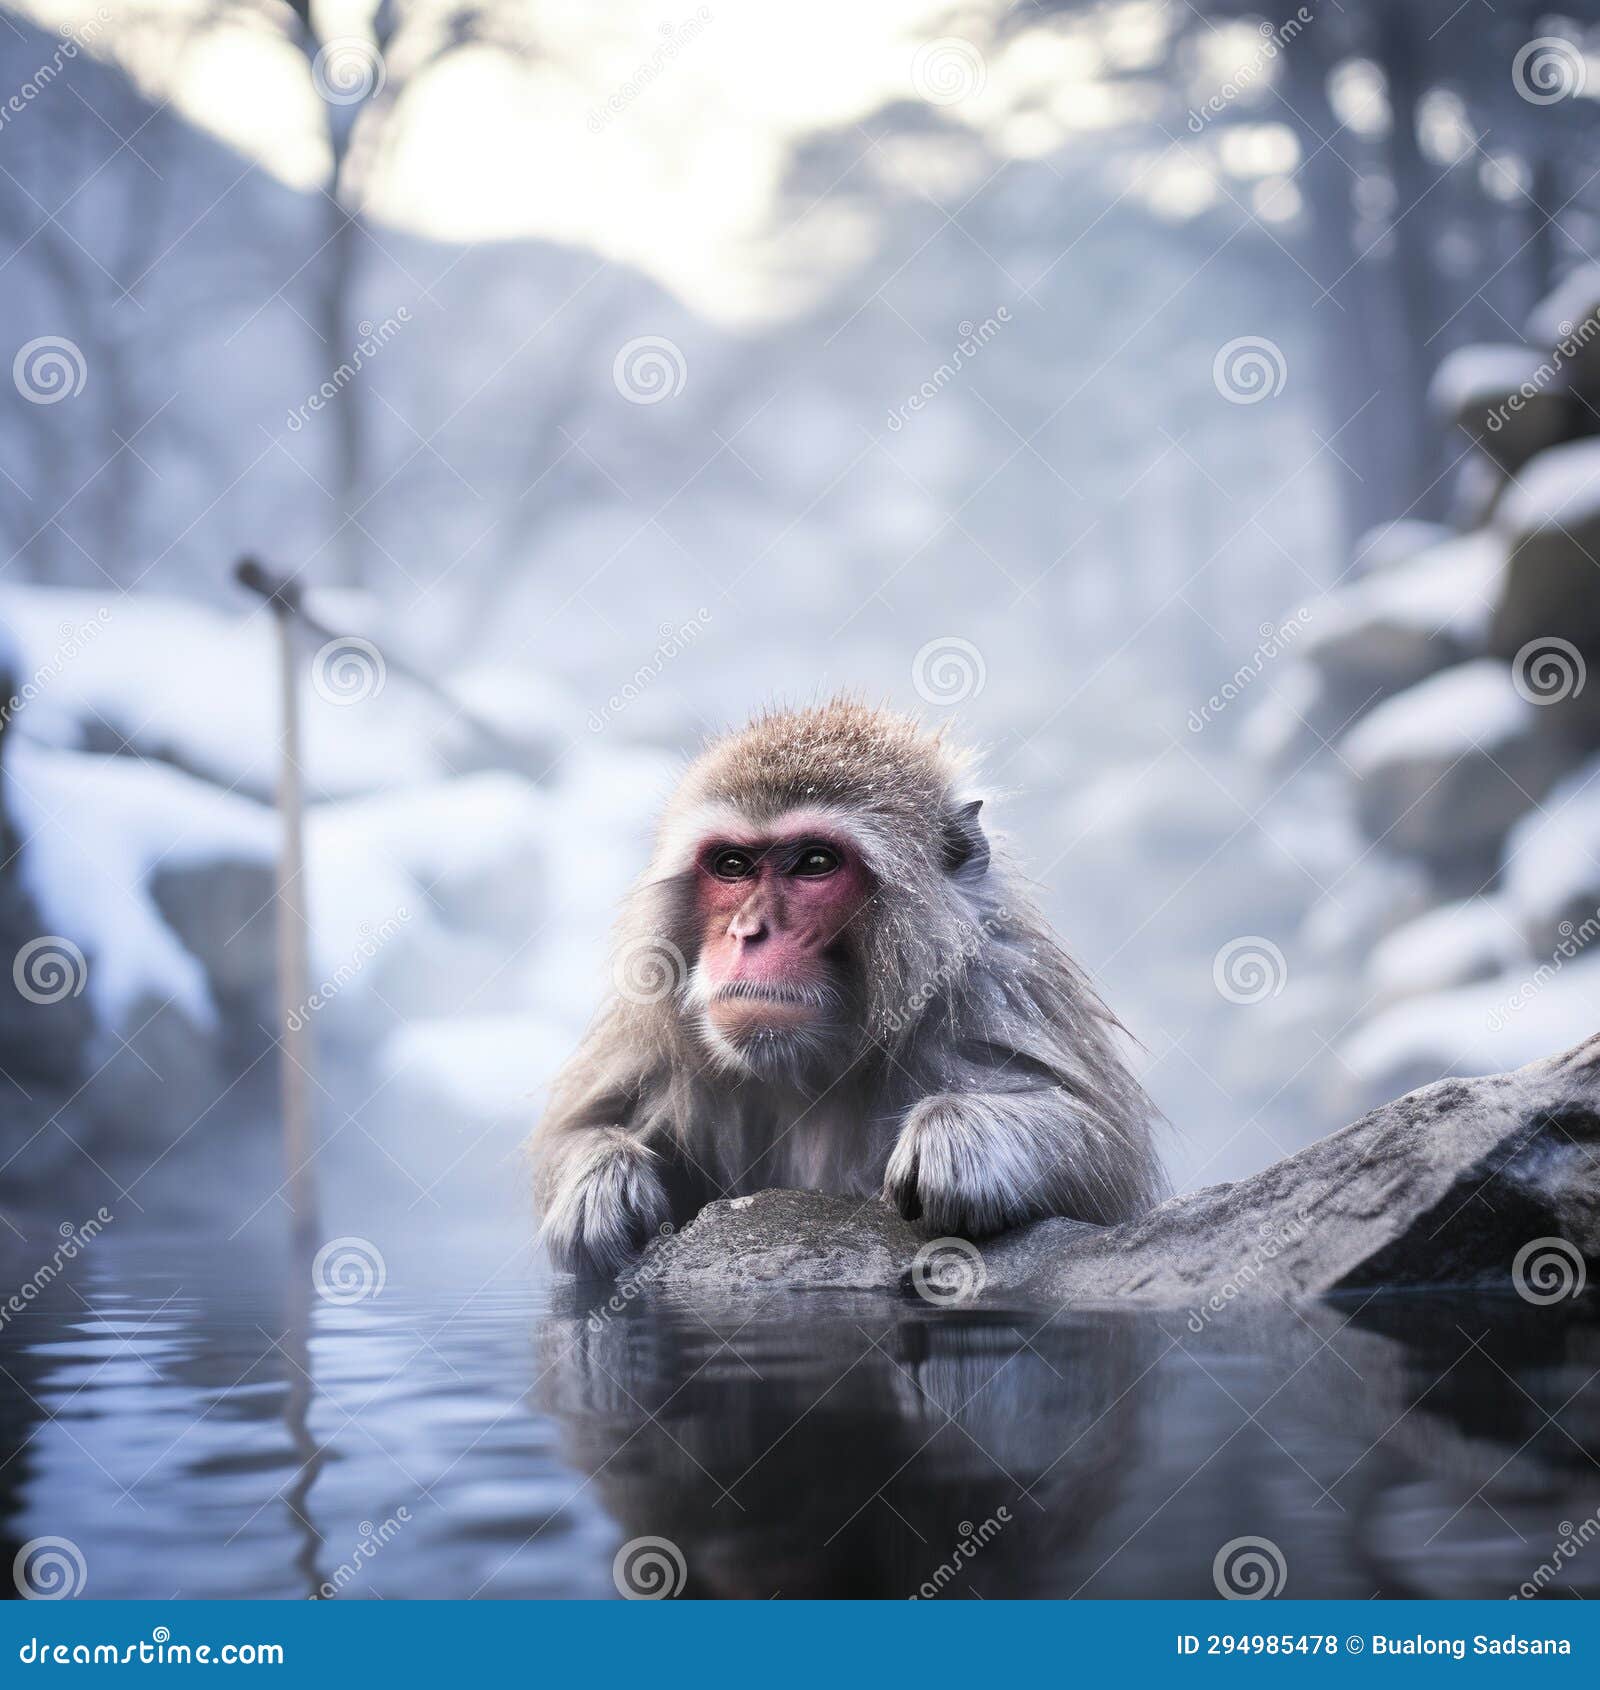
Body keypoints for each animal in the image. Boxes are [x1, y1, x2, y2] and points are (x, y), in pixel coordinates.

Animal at [530, 697, 1164, 1275]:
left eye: (815, 862)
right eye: (733, 865)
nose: (747, 932)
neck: (816, 1069)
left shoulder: (1000, 989)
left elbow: (1104, 1159)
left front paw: (960, 1136)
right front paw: (600, 1177)